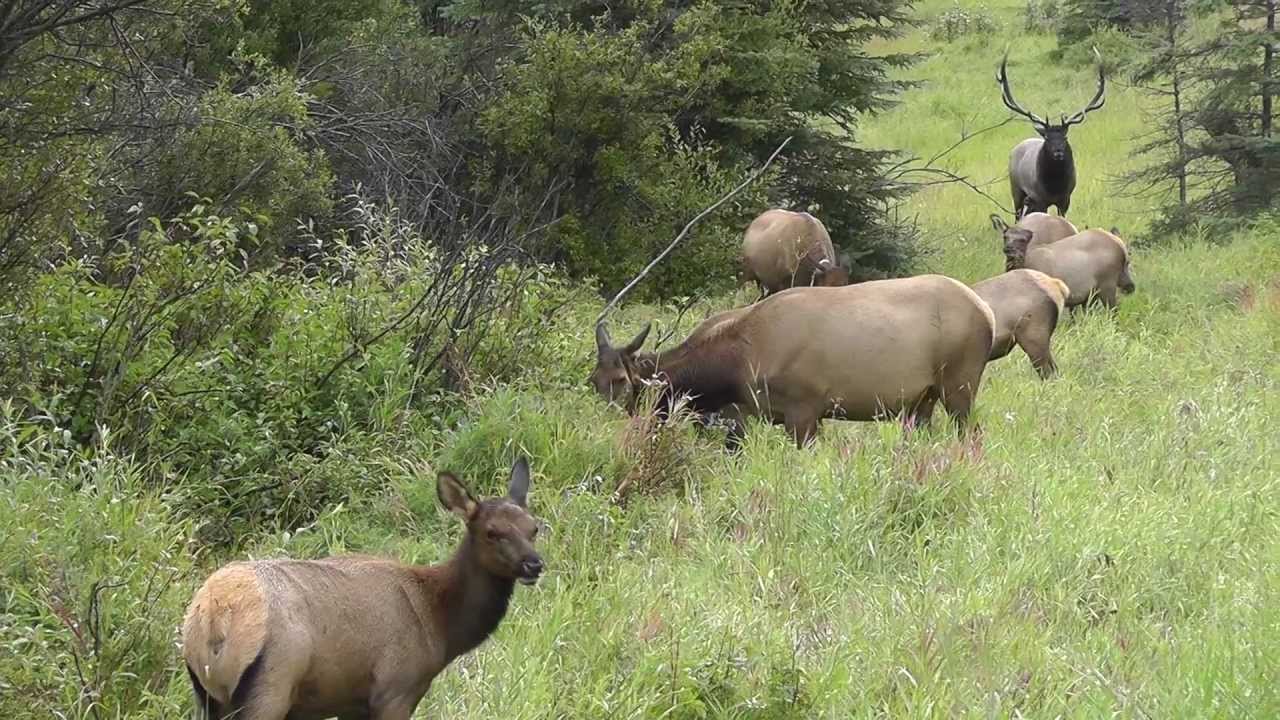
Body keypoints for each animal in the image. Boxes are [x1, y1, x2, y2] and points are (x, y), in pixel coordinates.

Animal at [181, 457, 545, 720]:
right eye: (492, 532)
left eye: (534, 528)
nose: (534, 564)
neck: (440, 627)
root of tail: (213, 619)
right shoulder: (395, 690)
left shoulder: (350, 703)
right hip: (271, 685)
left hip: (209, 697)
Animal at [590, 275, 995, 448]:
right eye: (593, 380)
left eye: (622, 381)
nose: (603, 425)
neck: (737, 367)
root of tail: (987, 314)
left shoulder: (804, 407)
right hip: (924, 398)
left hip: (959, 382)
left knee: (971, 433)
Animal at [998, 51, 1106, 219]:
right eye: (1047, 138)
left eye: (1065, 137)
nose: (1058, 152)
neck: (1055, 186)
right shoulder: (1040, 198)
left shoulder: (1066, 199)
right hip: (1016, 190)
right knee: (1017, 215)